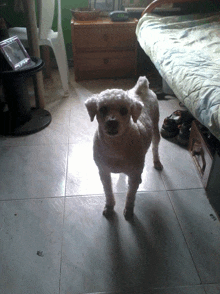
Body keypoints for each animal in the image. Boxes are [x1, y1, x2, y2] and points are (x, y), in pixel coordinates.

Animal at [85, 77, 162, 219]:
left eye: (124, 110)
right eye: (102, 109)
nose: (112, 122)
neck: (115, 145)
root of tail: (141, 87)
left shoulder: (133, 173)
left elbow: (131, 194)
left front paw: (129, 209)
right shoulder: (104, 172)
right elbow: (108, 192)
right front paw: (109, 207)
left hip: (155, 129)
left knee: (155, 148)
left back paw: (157, 162)